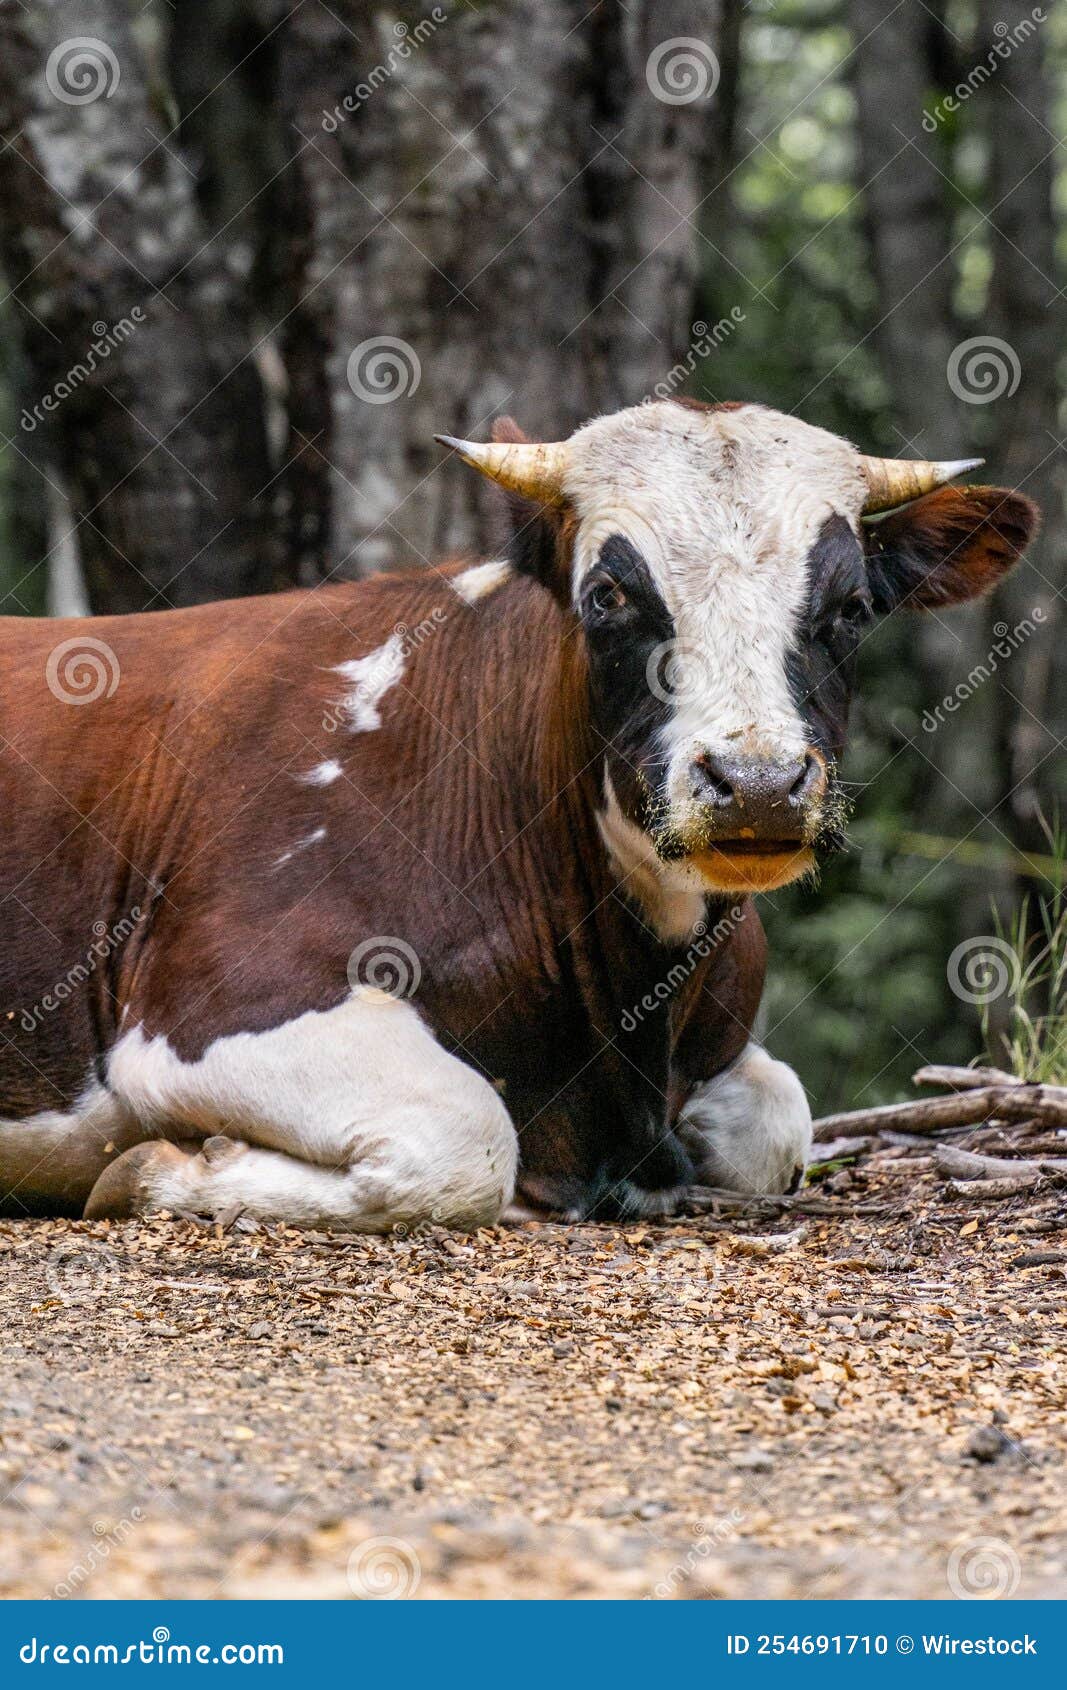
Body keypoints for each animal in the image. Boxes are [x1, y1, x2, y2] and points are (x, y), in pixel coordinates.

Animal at [0, 399, 1037, 1231]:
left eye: (853, 605)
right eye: (608, 595)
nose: (754, 782)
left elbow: (778, 1119)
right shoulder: (211, 1003)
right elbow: (466, 1135)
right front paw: (159, 1168)